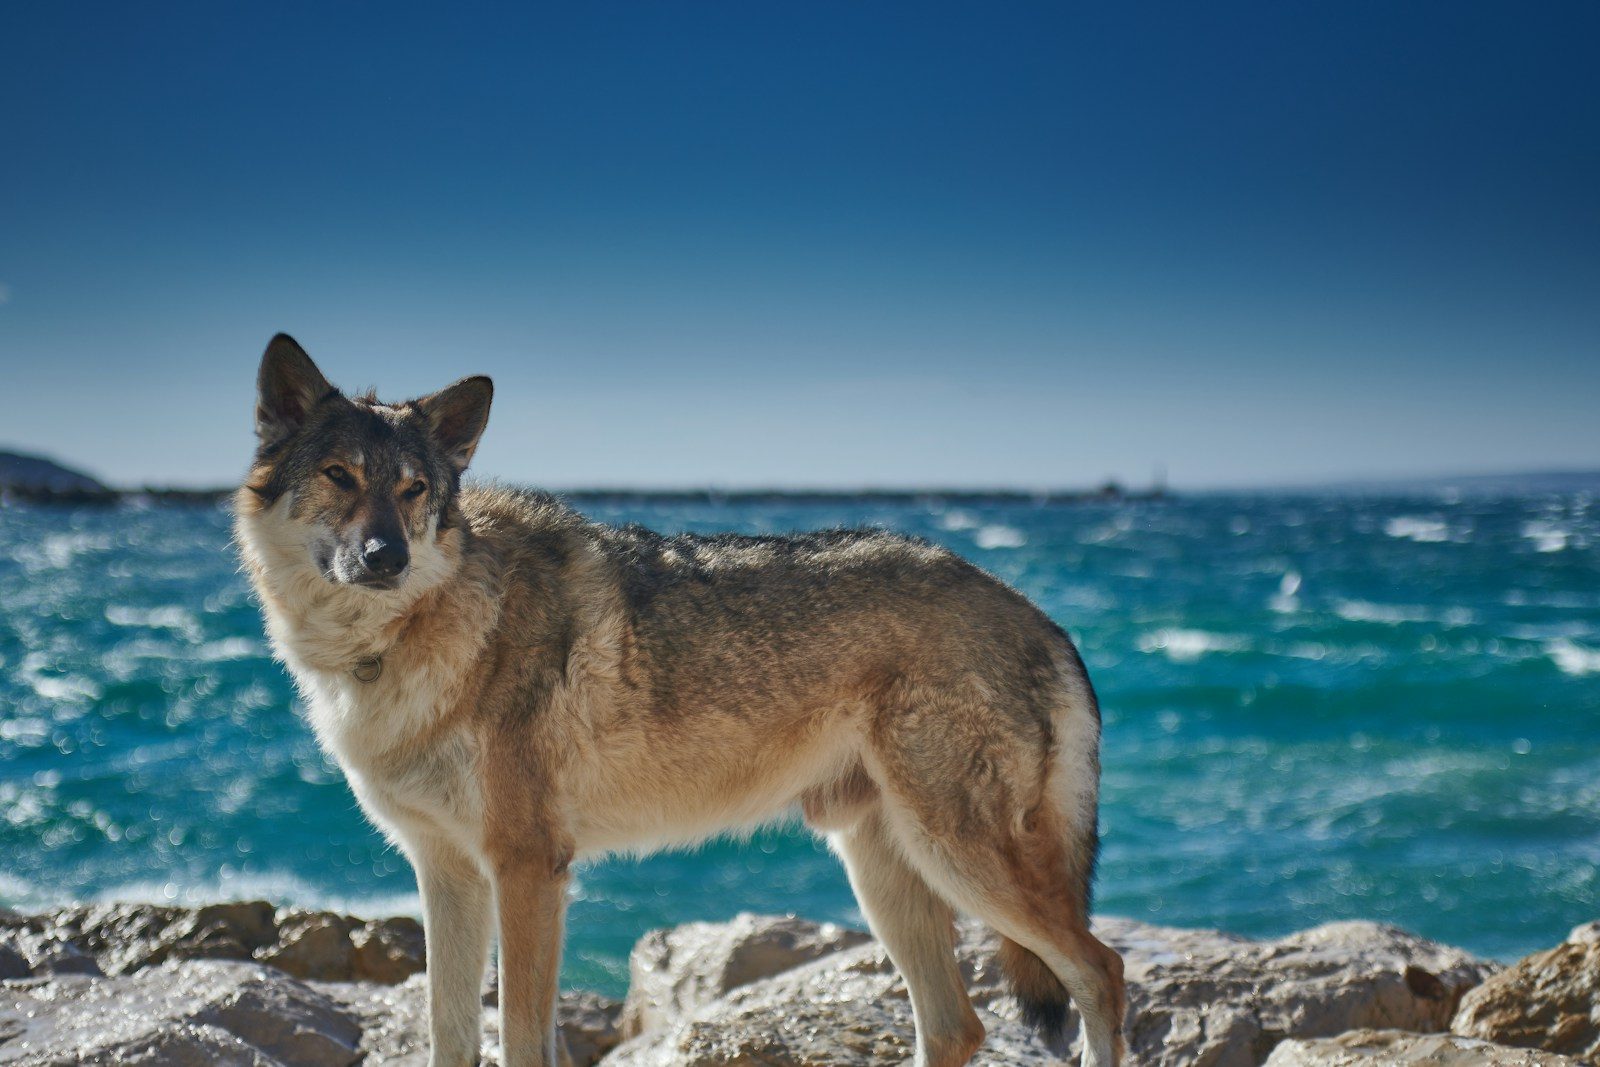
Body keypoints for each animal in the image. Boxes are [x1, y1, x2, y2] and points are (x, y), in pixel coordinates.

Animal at [234, 334, 1125, 1067]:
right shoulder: (446, 873)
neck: (403, 642)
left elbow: (520, 1040)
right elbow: (448, 1037)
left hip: (957, 859)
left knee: (1101, 969)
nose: (384, 557)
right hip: (884, 869)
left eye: (414, 489)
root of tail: (1038, 613)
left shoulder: (527, 869)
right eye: (340, 476)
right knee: (958, 1026)